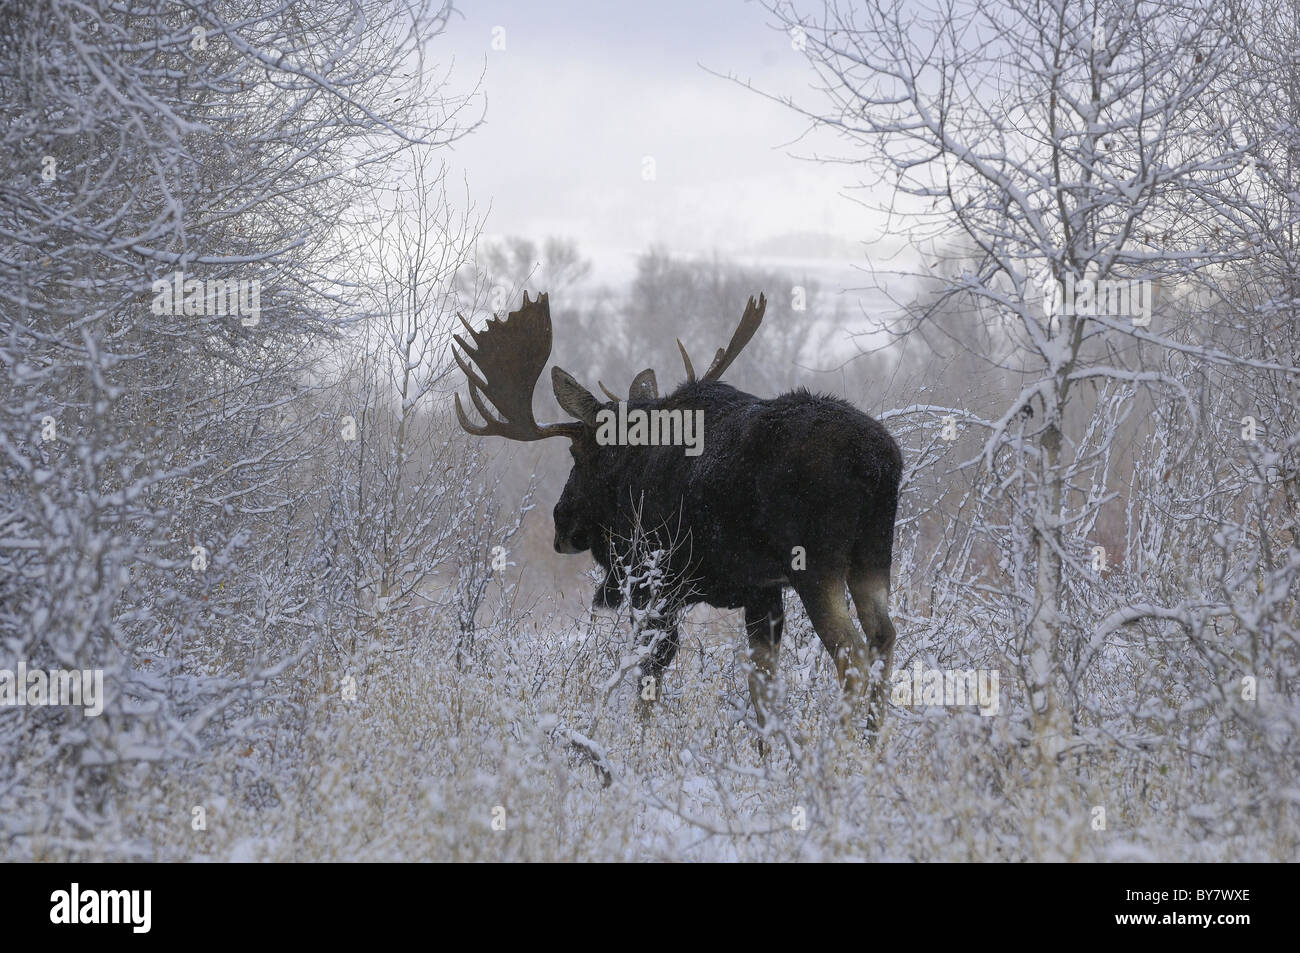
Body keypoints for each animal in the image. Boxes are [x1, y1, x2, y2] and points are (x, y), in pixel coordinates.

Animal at [452, 291, 903, 736]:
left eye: (577, 453)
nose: (561, 521)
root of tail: (878, 462)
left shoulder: (656, 581)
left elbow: (650, 674)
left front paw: (639, 741)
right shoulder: (761, 589)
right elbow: (763, 691)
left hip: (815, 563)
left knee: (851, 653)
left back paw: (840, 749)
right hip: (874, 554)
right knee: (883, 636)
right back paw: (873, 743)